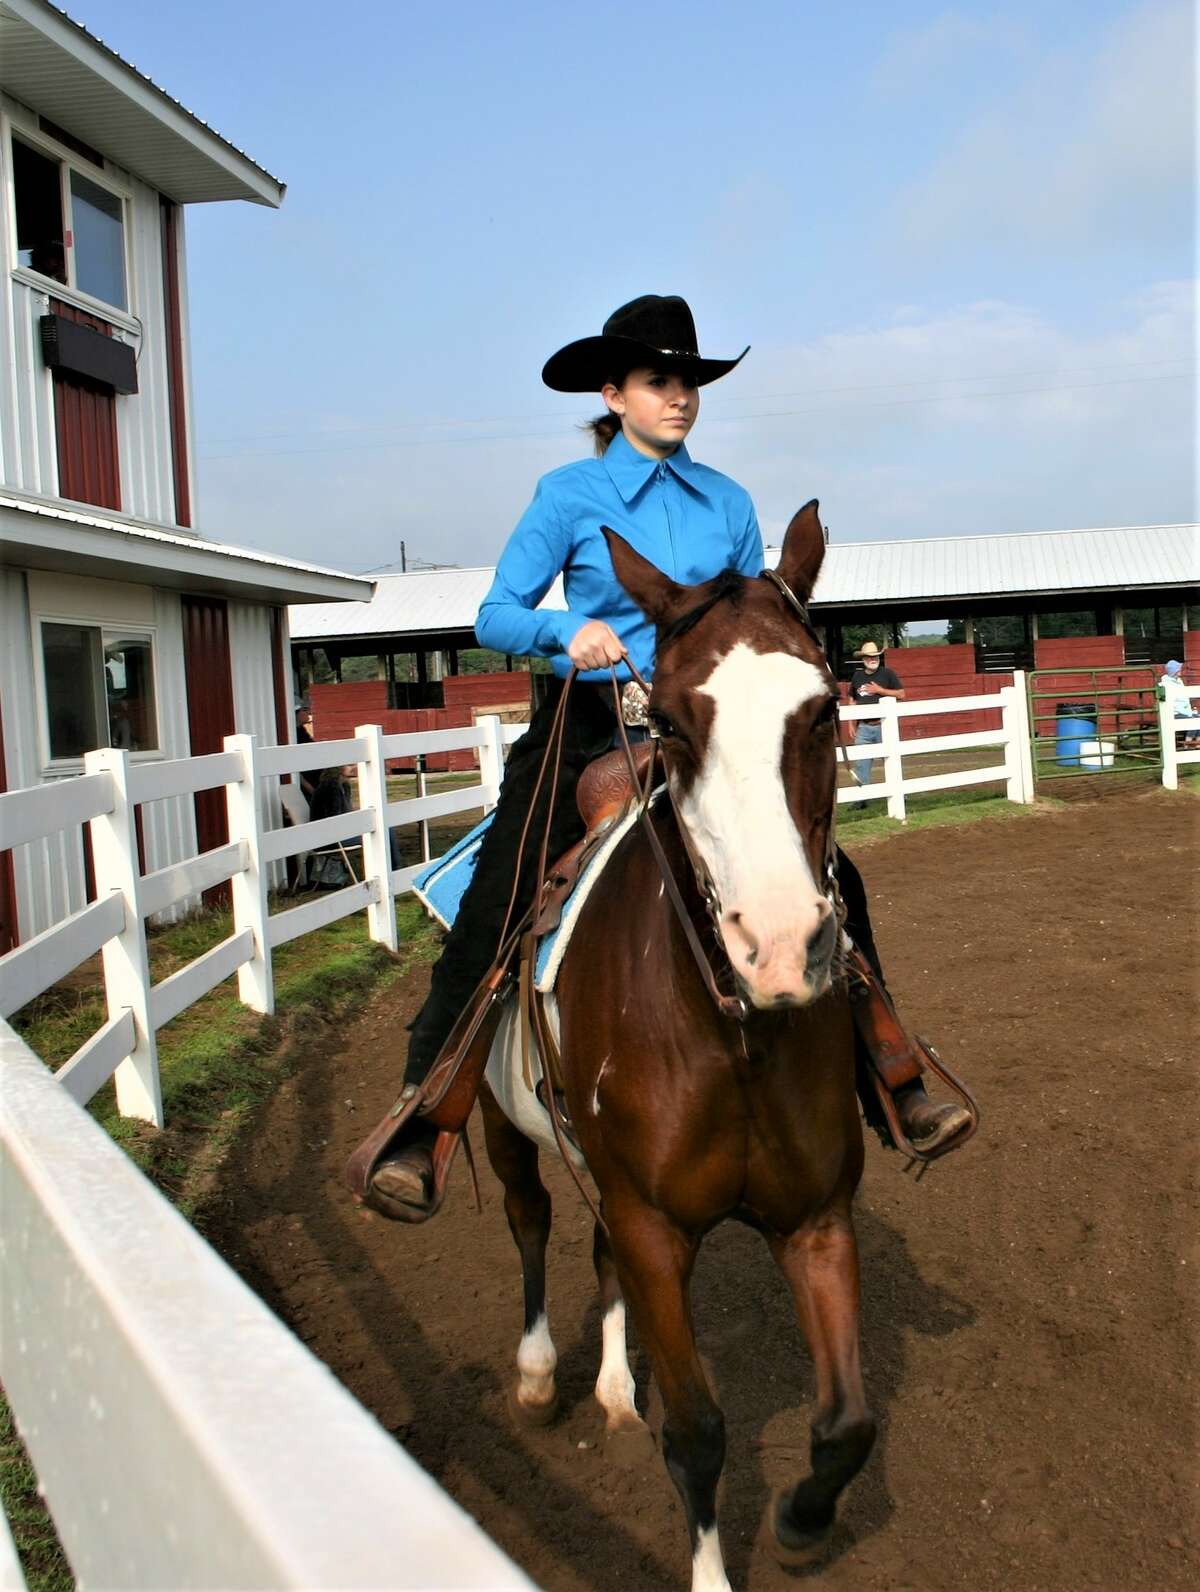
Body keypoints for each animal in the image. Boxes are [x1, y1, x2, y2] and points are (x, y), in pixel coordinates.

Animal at [479, 500, 874, 1592]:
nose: (777, 948)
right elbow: (697, 1434)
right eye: (669, 723)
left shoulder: (815, 1216)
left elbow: (846, 1423)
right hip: (500, 1125)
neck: (731, 1035)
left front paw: (800, 1517)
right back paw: (539, 1374)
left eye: (821, 710)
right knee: (530, 1220)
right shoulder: (657, 1225)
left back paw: (615, 1389)